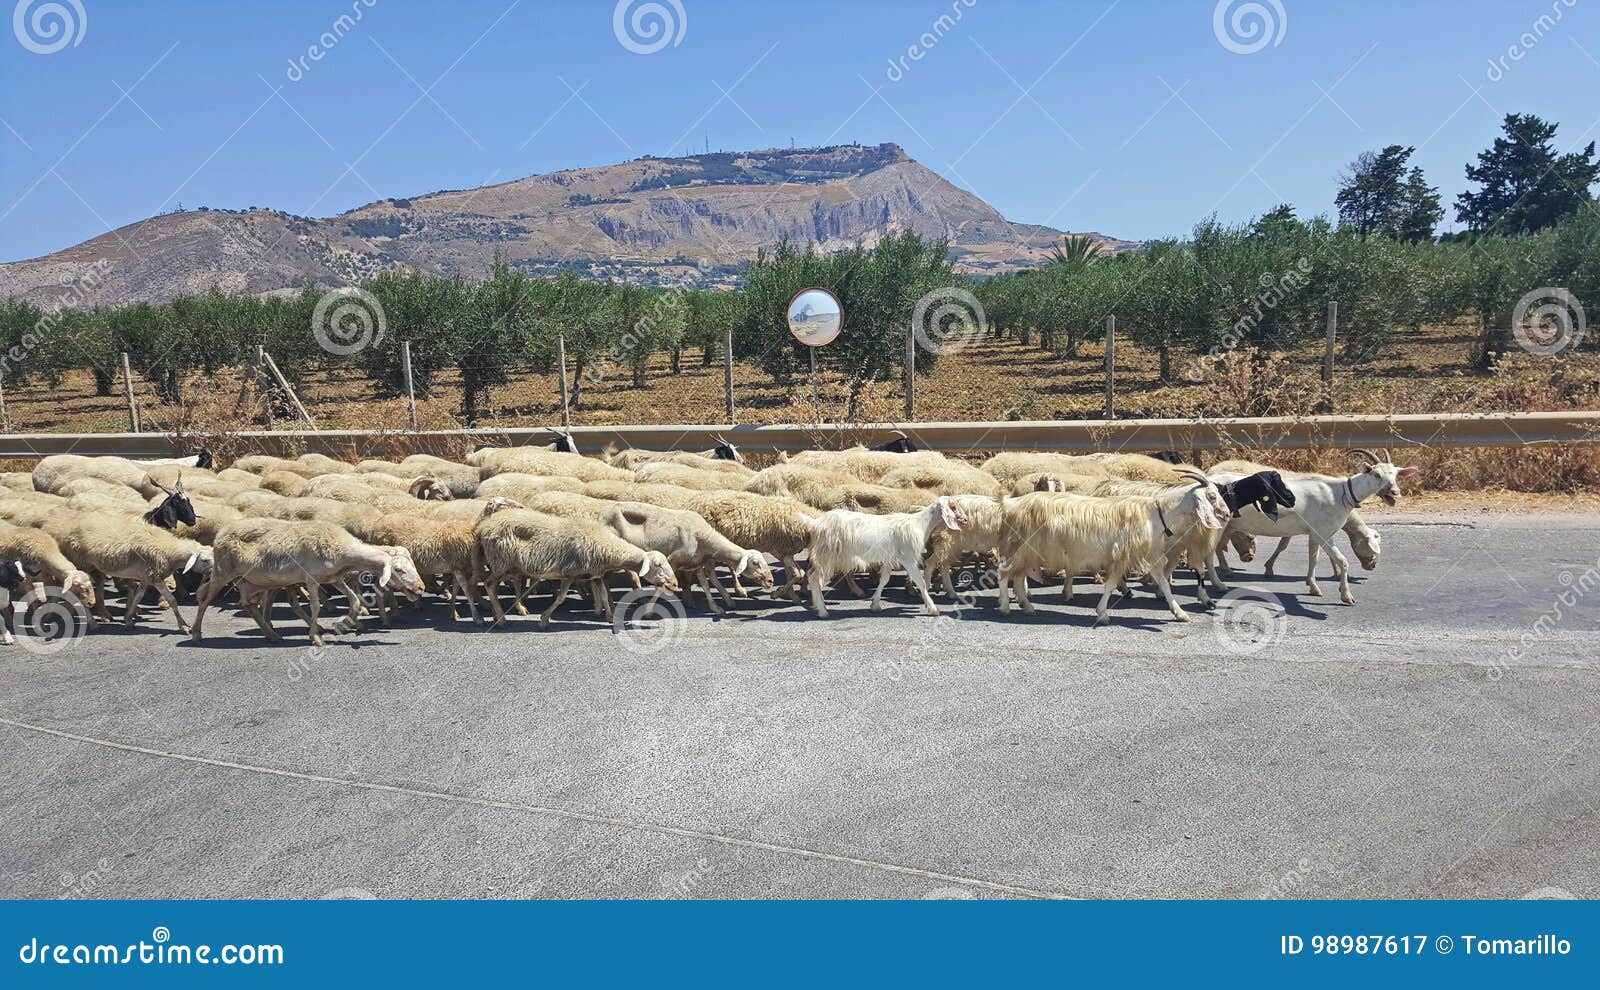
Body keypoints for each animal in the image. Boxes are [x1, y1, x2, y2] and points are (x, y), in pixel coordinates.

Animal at [192, 518, 426, 646]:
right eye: (399, 570)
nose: (420, 588)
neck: (343, 550)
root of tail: (220, 533)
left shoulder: (334, 578)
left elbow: (355, 601)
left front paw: (350, 624)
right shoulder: (311, 579)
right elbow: (315, 606)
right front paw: (315, 637)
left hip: (251, 580)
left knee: (249, 605)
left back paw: (272, 634)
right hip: (223, 571)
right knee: (204, 601)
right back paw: (195, 634)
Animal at [471, 508, 678, 628]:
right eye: (658, 565)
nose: (675, 584)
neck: (605, 546)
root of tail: (483, 527)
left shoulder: (595, 574)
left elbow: (604, 595)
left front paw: (610, 618)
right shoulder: (570, 573)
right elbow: (561, 598)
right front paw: (544, 620)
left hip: (505, 565)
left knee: (492, 585)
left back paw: (496, 615)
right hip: (501, 562)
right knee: (489, 585)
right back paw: (500, 619)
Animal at [995, 481, 1226, 624]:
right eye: (1211, 496)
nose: (1225, 513)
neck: (1156, 513)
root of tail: (1010, 504)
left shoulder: (1147, 555)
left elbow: (1162, 582)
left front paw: (1180, 613)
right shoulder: (1121, 557)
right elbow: (1111, 584)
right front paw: (1102, 614)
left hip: (1027, 553)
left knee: (1018, 577)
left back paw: (1027, 606)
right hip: (1021, 549)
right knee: (1004, 573)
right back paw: (1005, 606)